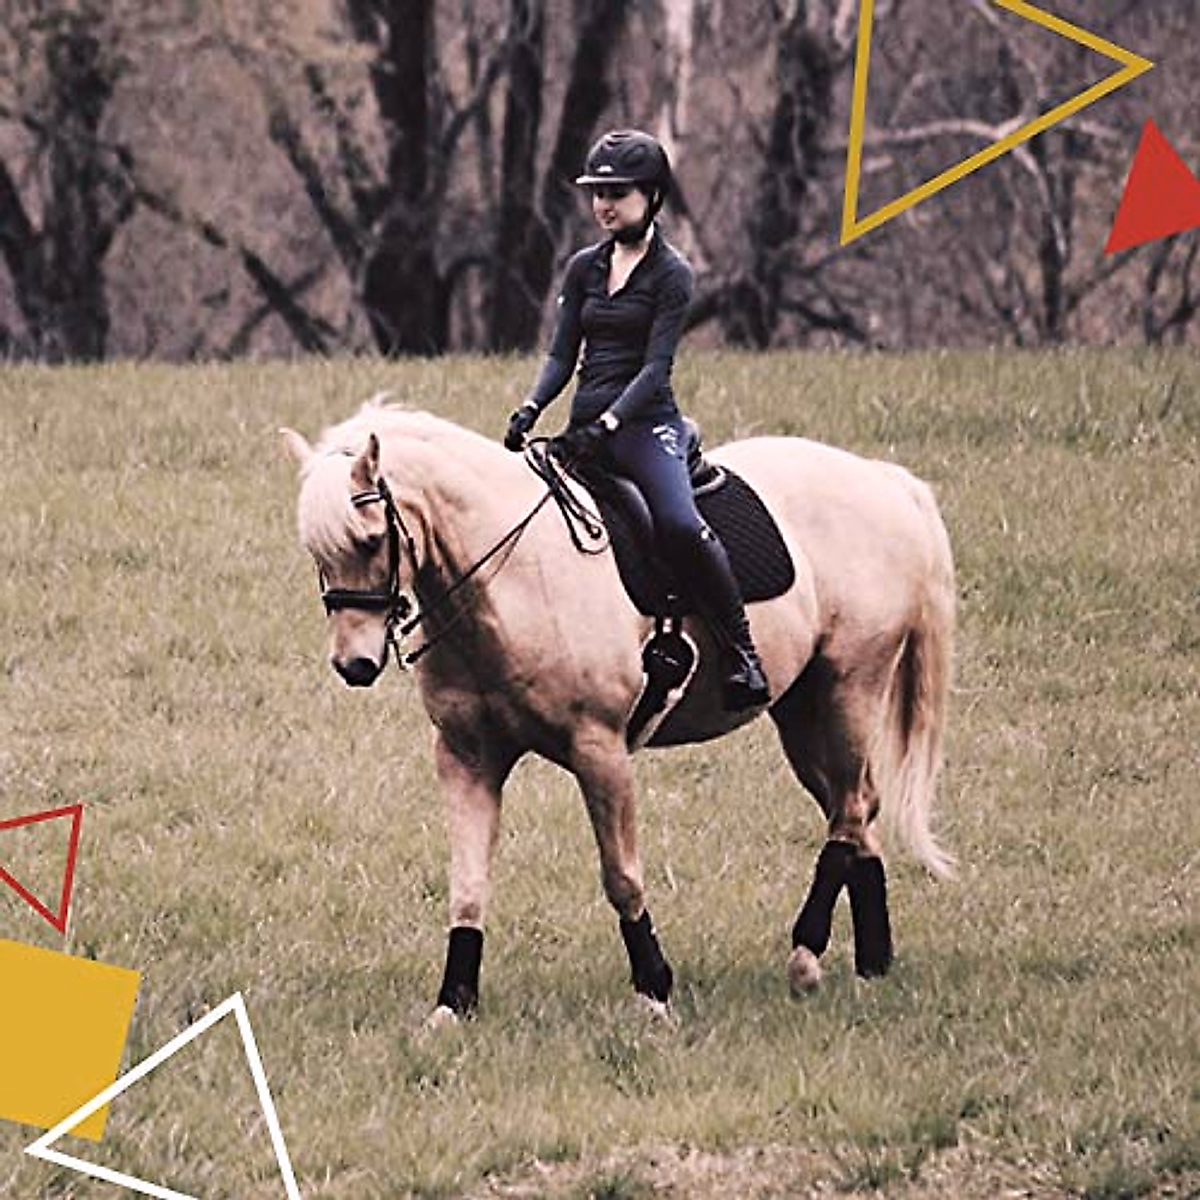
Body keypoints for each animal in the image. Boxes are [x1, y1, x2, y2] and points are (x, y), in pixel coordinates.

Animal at [281, 399, 956, 1021]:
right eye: (316, 552)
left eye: (371, 539)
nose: (354, 665)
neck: (513, 576)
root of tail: (881, 479)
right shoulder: (467, 759)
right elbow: (467, 886)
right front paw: (453, 1005)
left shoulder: (599, 750)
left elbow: (621, 876)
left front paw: (654, 992)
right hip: (801, 709)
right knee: (856, 809)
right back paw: (873, 961)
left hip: (850, 687)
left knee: (853, 808)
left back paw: (806, 958)